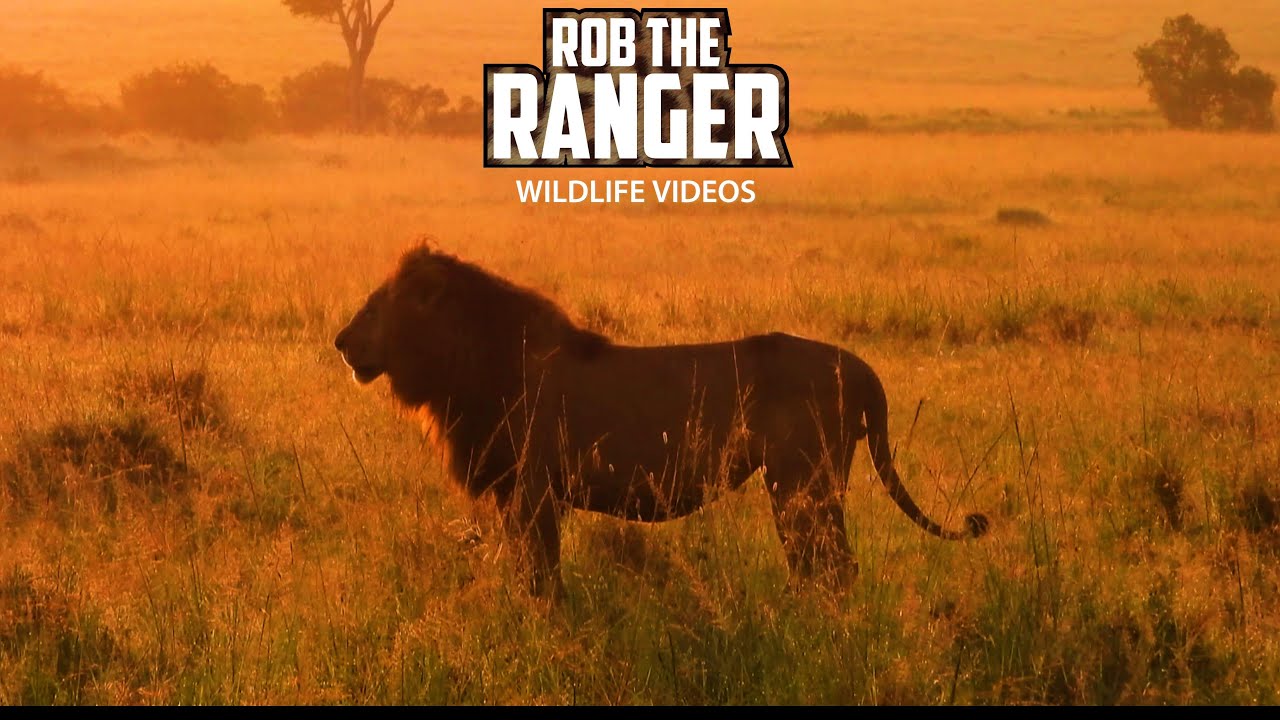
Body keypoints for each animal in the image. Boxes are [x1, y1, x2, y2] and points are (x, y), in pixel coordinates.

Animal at [334, 245, 988, 600]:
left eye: (382, 304)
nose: (341, 342)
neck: (468, 363)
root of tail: (860, 368)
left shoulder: (533, 491)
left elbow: (541, 575)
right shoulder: (516, 494)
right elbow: (529, 570)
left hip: (803, 484)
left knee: (831, 567)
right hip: (803, 487)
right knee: (822, 566)